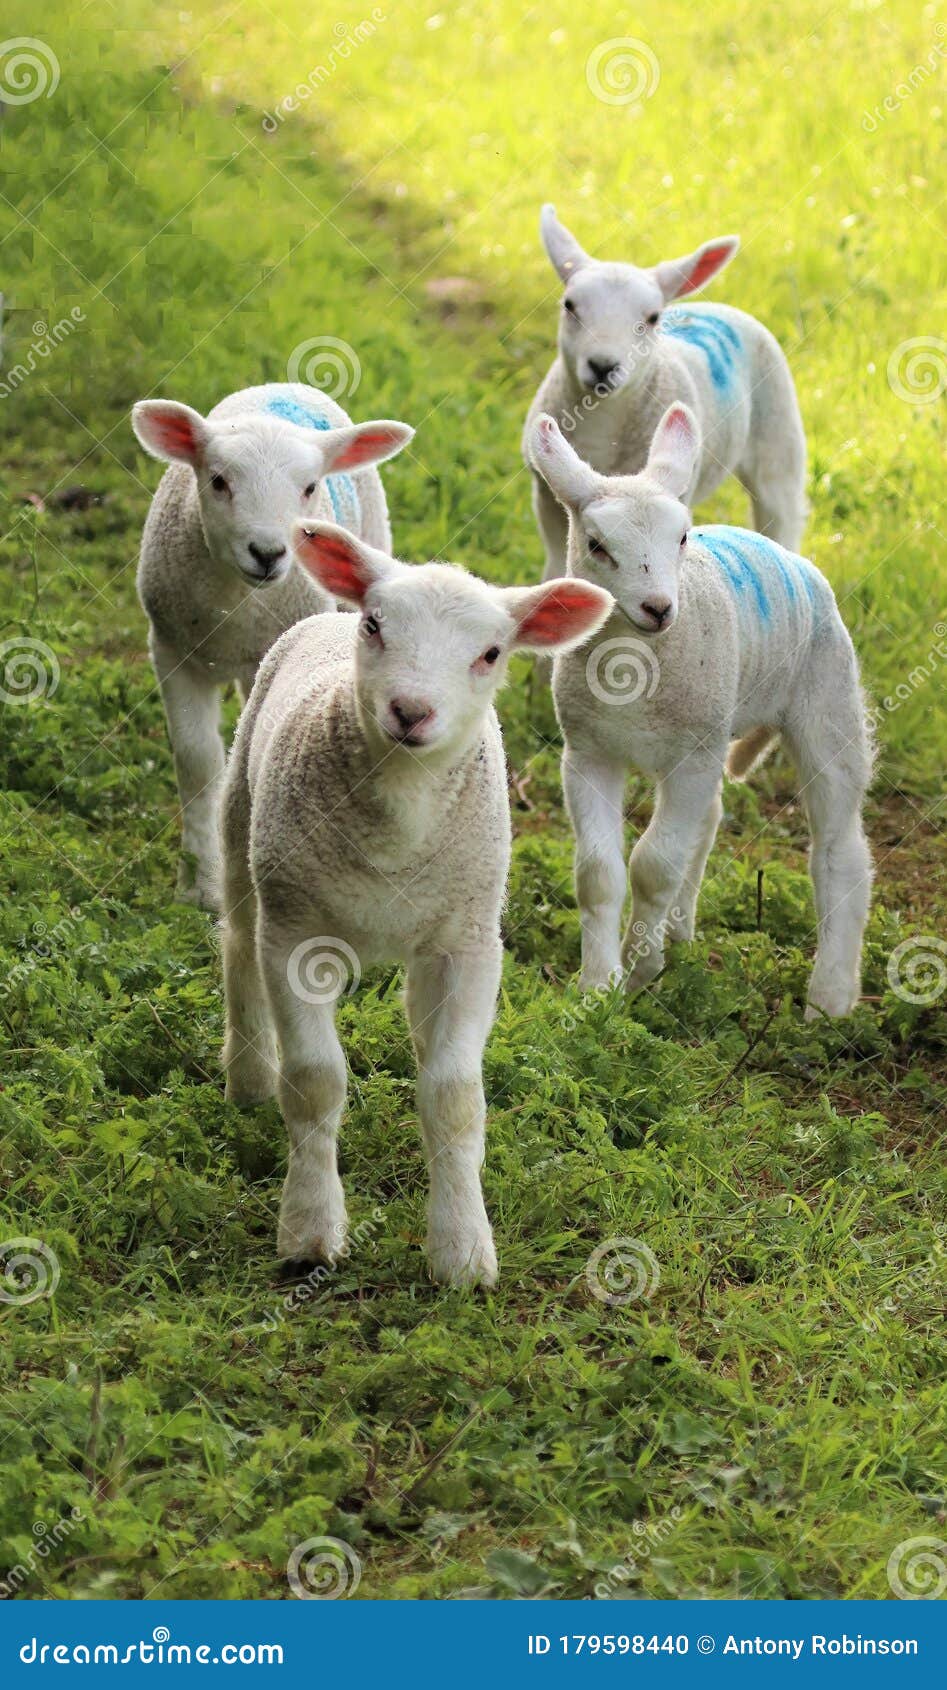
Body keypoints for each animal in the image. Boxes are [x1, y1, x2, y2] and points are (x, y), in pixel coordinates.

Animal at [132, 383, 414, 910]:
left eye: (309, 488)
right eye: (218, 481)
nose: (267, 553)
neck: (233, 602)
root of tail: (284, 385)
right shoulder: (171, 649)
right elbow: (197, 760)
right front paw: (198, 884)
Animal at [219, 521, 613, 1285]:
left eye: (490, 654)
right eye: (376, 626)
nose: (410, 711)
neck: (400, 814)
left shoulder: (468, 943)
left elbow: (453, 1097)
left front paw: (461, 1250)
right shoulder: (295, 933)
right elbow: (313, 1081)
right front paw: (308, 1230)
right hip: (242, 823)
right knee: (237, 943)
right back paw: (248, 1075)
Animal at [523, 206, 808, 585]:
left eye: (652, 317)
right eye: (569, 306)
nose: (603, 366)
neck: (603, 420)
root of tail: (715, 306)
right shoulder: (547, 497)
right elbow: (557, 563)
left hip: (778, 435)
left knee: (782, 513)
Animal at [528, 404, 873, 1020]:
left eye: (683, 537)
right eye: (596, 544)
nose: (659, 608)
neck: (632, 667)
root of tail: (789, 556)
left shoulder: (689, 756)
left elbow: (652, 866)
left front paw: (640, 970)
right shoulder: (588, 753)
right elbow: (598, 874)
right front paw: (598, 985)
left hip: (824, 696)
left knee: (839, 850)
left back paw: (828, 1001)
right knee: (709, 818)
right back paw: (681, 930)